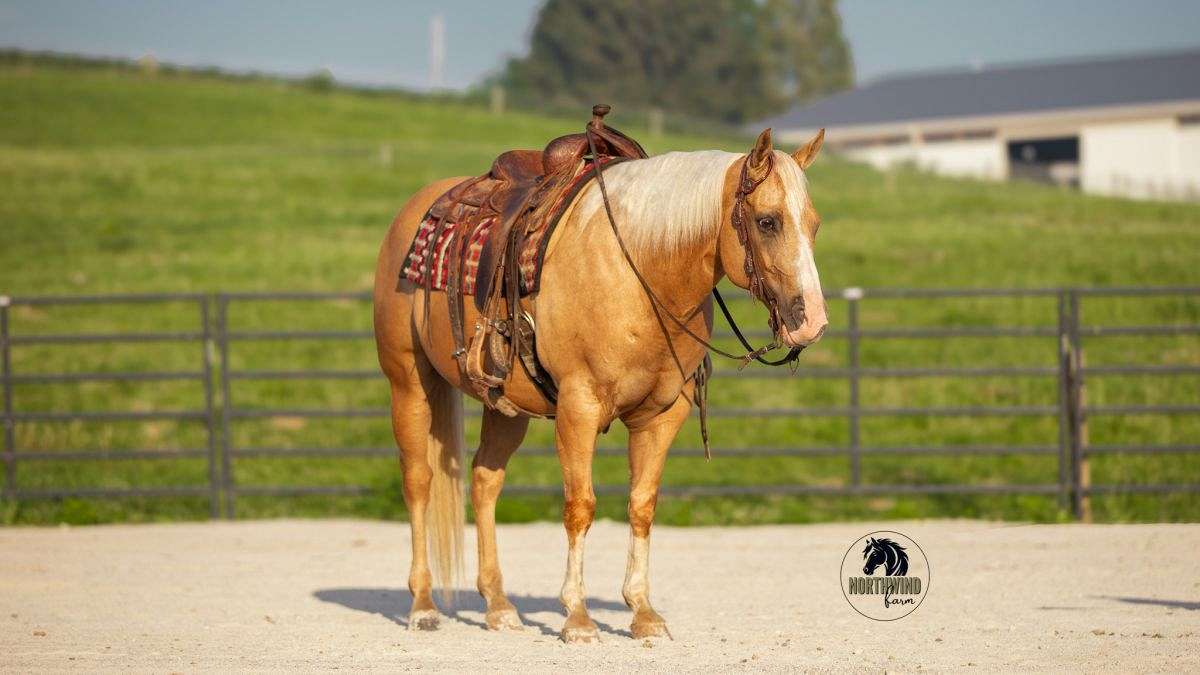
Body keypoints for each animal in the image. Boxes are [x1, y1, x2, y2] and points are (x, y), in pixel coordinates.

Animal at [372, 126, 829, 643]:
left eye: (813, 225)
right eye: (768, 221)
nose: (812, 321)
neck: (640, 272)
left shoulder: (662, 415)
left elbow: (642, 505)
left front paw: (644, 613)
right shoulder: (579, 407)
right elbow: (580, 506)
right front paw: (577, 616)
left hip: (504, 406)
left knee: (485, 481)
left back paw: (498, 606)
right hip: (408, 383)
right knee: (419, 481)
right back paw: (423, 605)